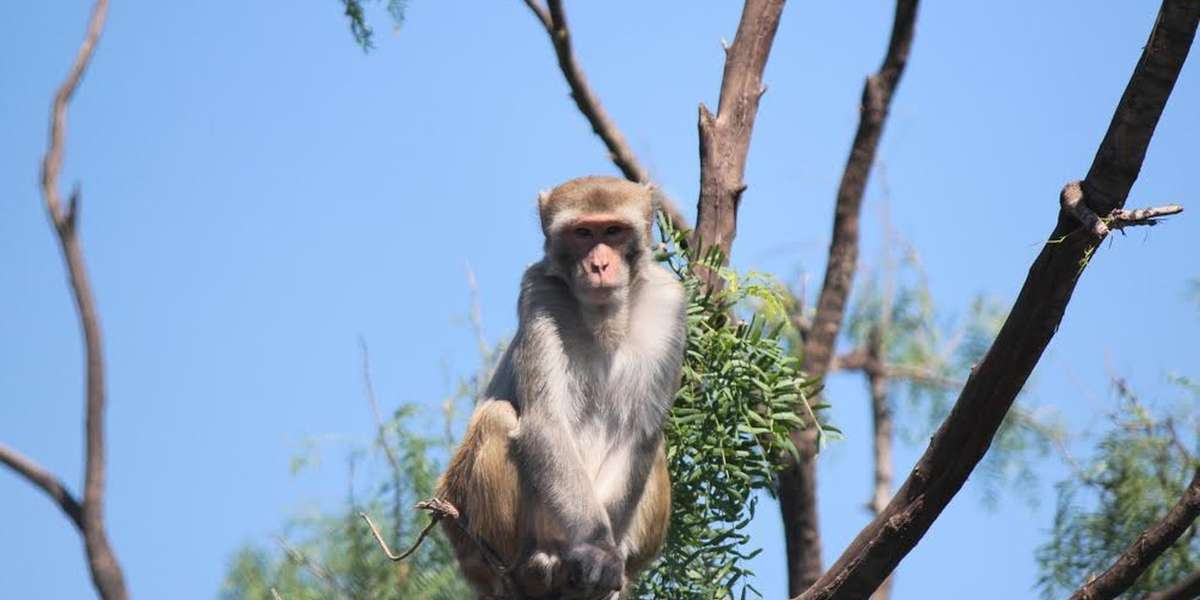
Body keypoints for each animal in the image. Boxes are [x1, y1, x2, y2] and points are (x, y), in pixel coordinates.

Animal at [437, 176, 687, 600]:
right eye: (582, 233)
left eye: (614, 231)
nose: (599, 265)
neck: (604, 318)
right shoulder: (540, 291)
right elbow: (546, 423)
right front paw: (597, 547)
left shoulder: (668, 303)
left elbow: (639, 434)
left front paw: (607, 556)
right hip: (473, 543)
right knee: (497, 417)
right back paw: (529, 569)